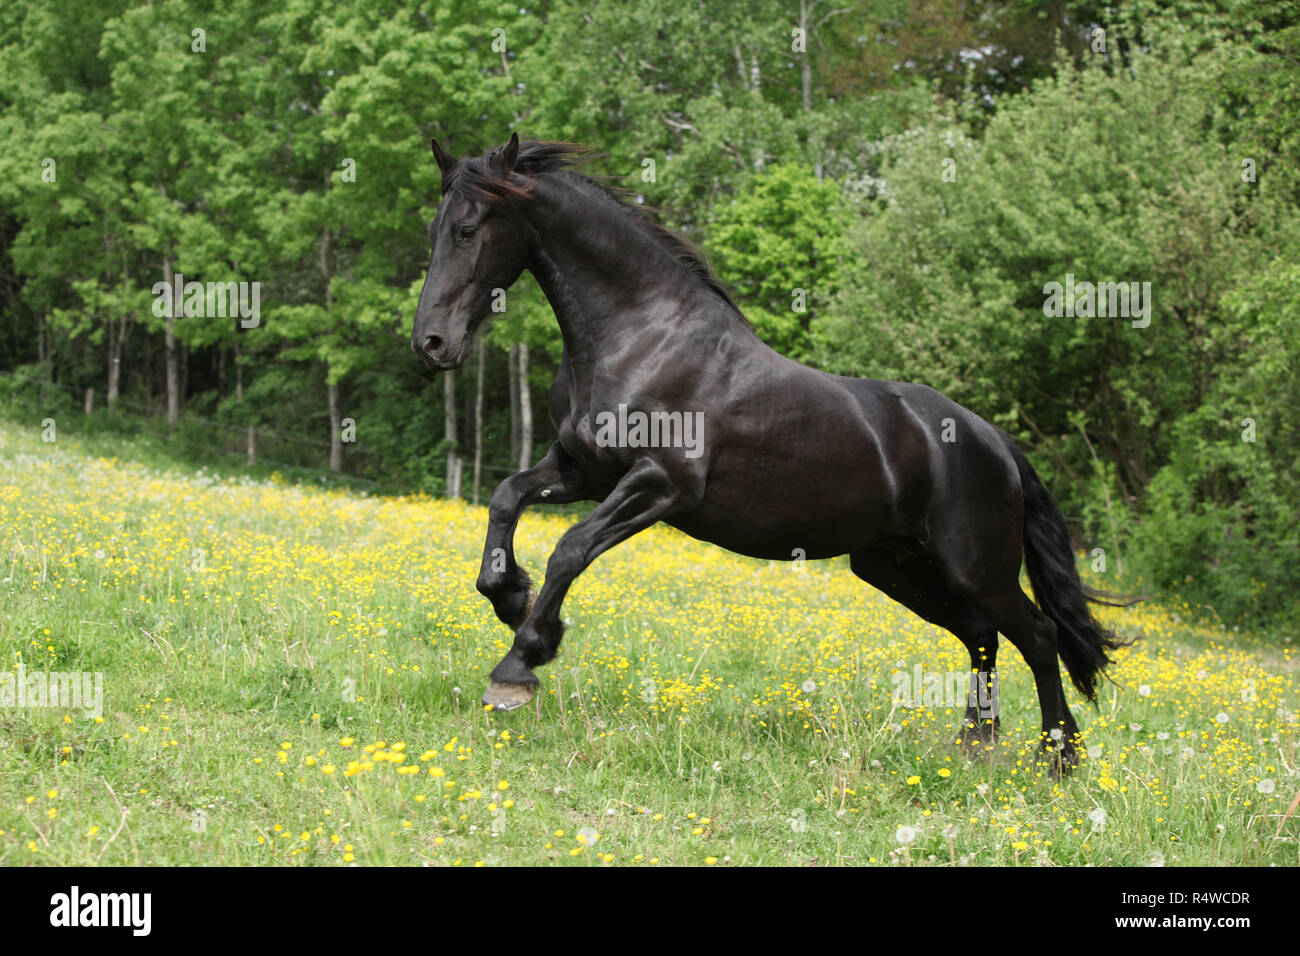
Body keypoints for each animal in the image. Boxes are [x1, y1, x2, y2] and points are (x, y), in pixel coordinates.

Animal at [411, 133, 1131, 775]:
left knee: (1036, 636)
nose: (430, 343)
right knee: (982, 635)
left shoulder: (660, 485)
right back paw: (974, 748)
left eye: (469, 229)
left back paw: (1059, 760)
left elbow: (570, 548)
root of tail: (995, 442)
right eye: (434, 229)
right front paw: (509, 596)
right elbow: (506, 497)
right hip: (896, 565)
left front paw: (520, 662)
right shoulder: (582, 470)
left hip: (976, 566)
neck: (644, 339)